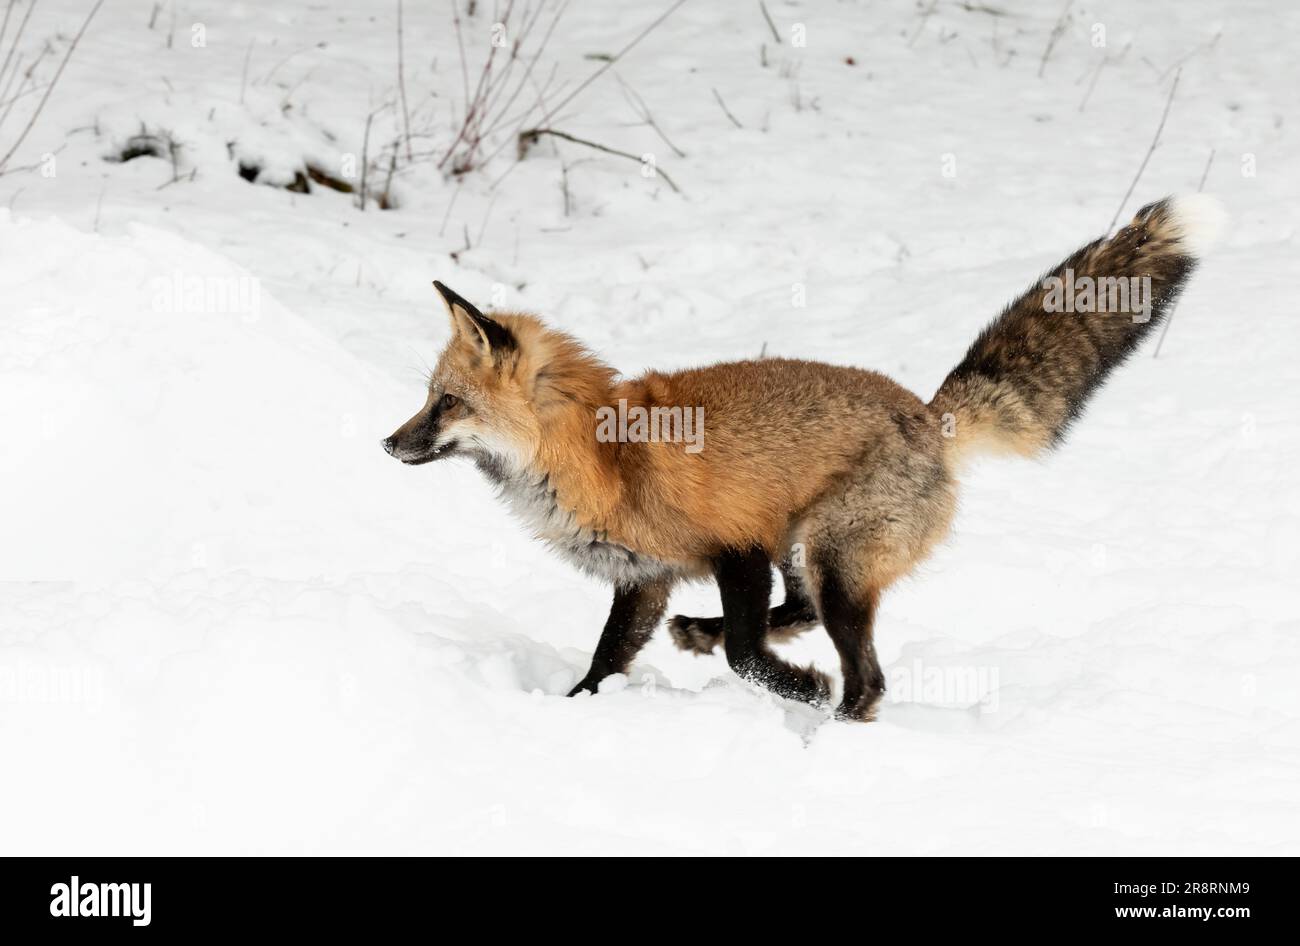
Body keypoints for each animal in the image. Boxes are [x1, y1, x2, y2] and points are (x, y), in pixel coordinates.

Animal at [383, 196, 1222, 721]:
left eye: (446, 404)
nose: (388, 443)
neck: (598, 453)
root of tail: (929, 414)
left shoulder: (736, 546)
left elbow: (746, 653)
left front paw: (801, 690)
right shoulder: (647, 578)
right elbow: (605, 662)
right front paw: (573, 715)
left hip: (832, 558)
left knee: (864, 673)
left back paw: (836, 722)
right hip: (806, 549)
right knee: (802, 613)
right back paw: (708, 636)